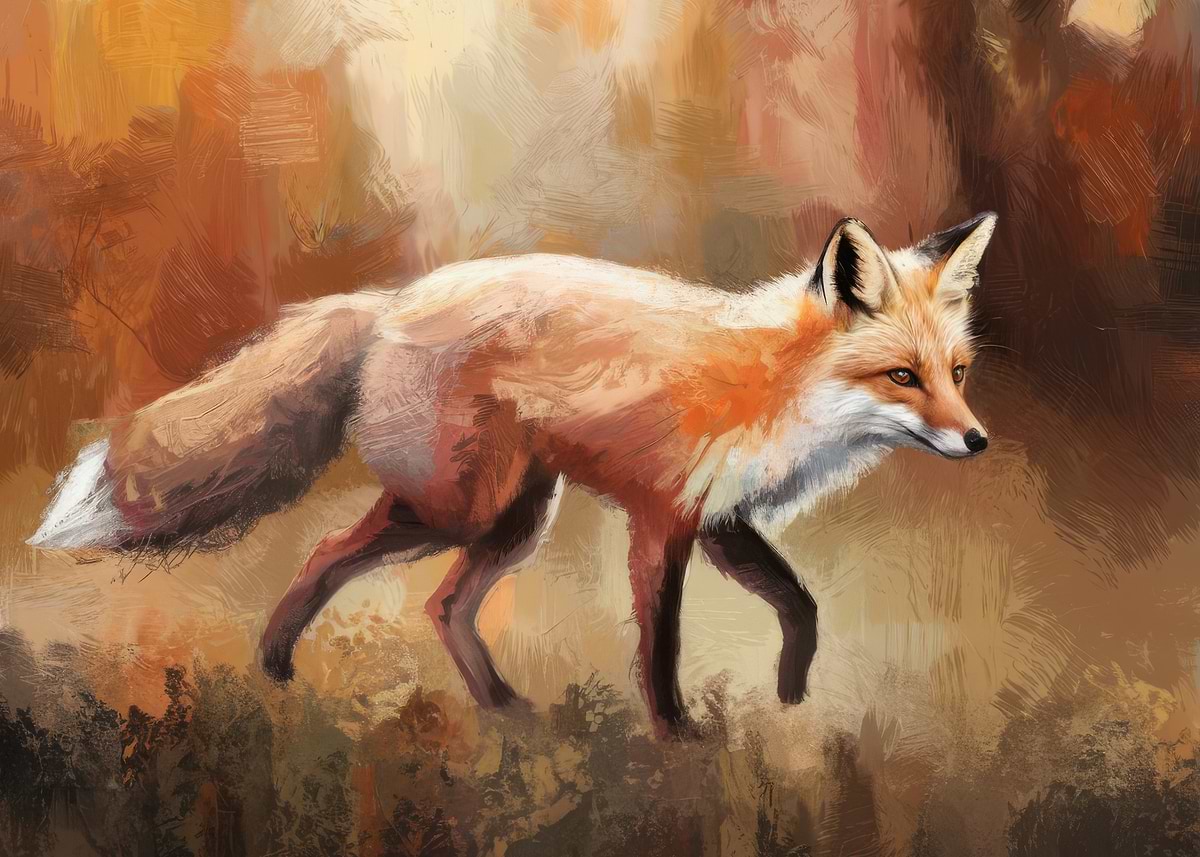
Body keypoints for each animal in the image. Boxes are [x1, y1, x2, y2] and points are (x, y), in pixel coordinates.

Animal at [28, 212, 997, 738]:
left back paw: (498, 708)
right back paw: (274, 668)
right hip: (462, 506)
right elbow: (659, 648)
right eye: (902, 376)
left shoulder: (721, 521)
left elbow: (801, 605)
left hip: (515, 517)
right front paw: (679, 740)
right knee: (329, 550)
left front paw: (793, 702)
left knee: (443, 603)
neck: (776, 383)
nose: (979, 440)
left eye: (956, 372)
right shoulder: (663, 517)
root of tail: (390, 302)